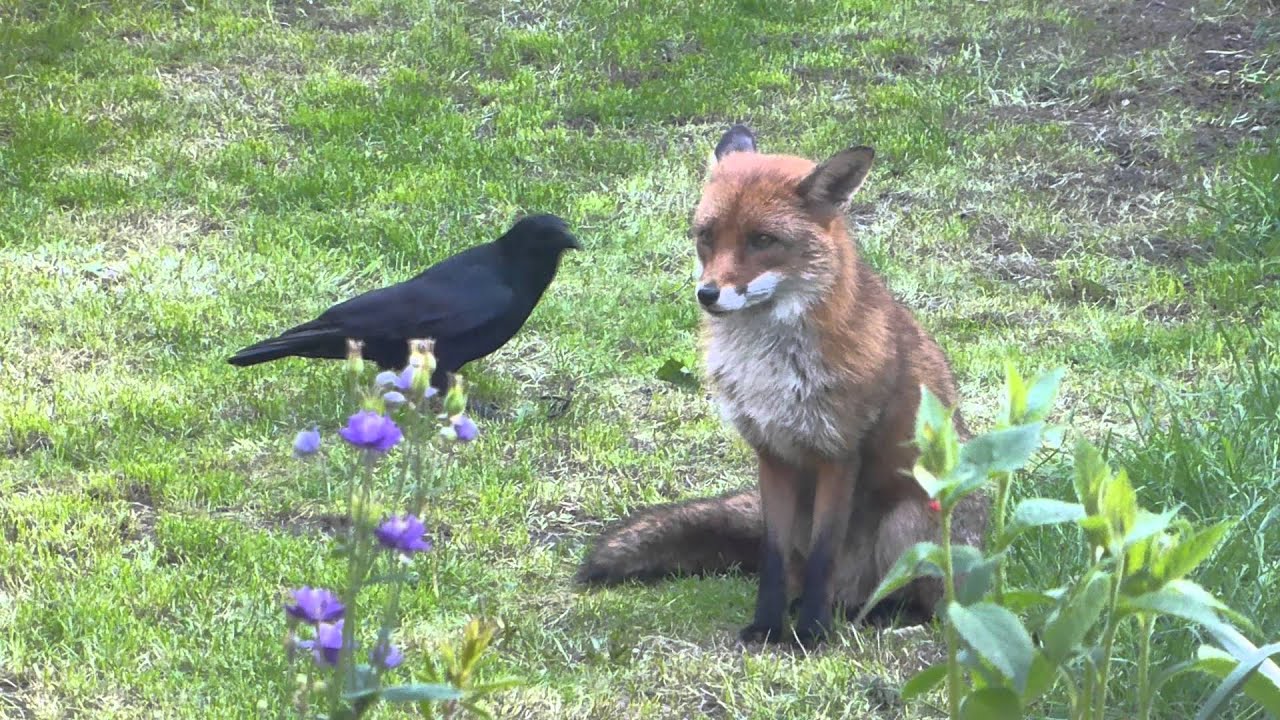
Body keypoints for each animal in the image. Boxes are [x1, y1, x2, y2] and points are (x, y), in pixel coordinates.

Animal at [576, 124, 989, 648]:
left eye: (762, 240)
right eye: (706, 236)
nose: (707, 294)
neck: (769, 370)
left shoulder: (838, 452)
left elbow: (823, 557)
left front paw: (811, 633)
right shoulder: (770, 451)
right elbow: (771, 558)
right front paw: (768, 625)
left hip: (911, 519)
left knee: (919, 598)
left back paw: (874, 614)